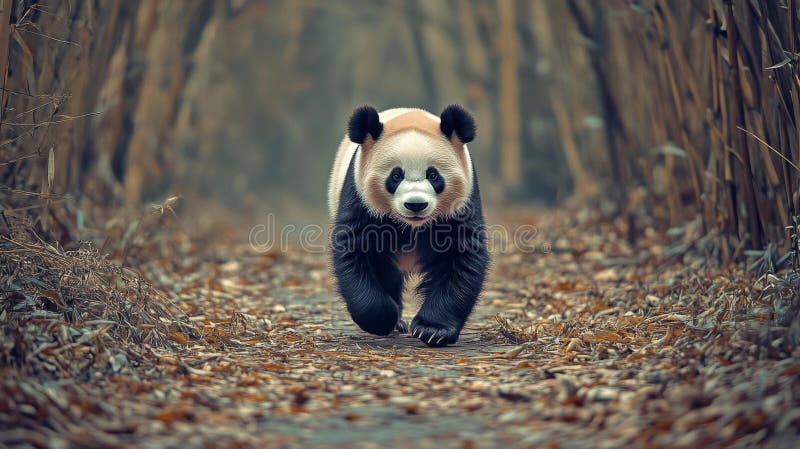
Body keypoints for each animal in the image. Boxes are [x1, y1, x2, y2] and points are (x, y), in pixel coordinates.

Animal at [328, 104, 489, 347]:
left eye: (433, 175)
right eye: (396, 175)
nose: (416, 204)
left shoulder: (462, 204)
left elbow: (462, 259)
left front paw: (433, 330)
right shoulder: (360, 199)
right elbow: (354, 253)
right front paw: (384, 318)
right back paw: (397, 322)